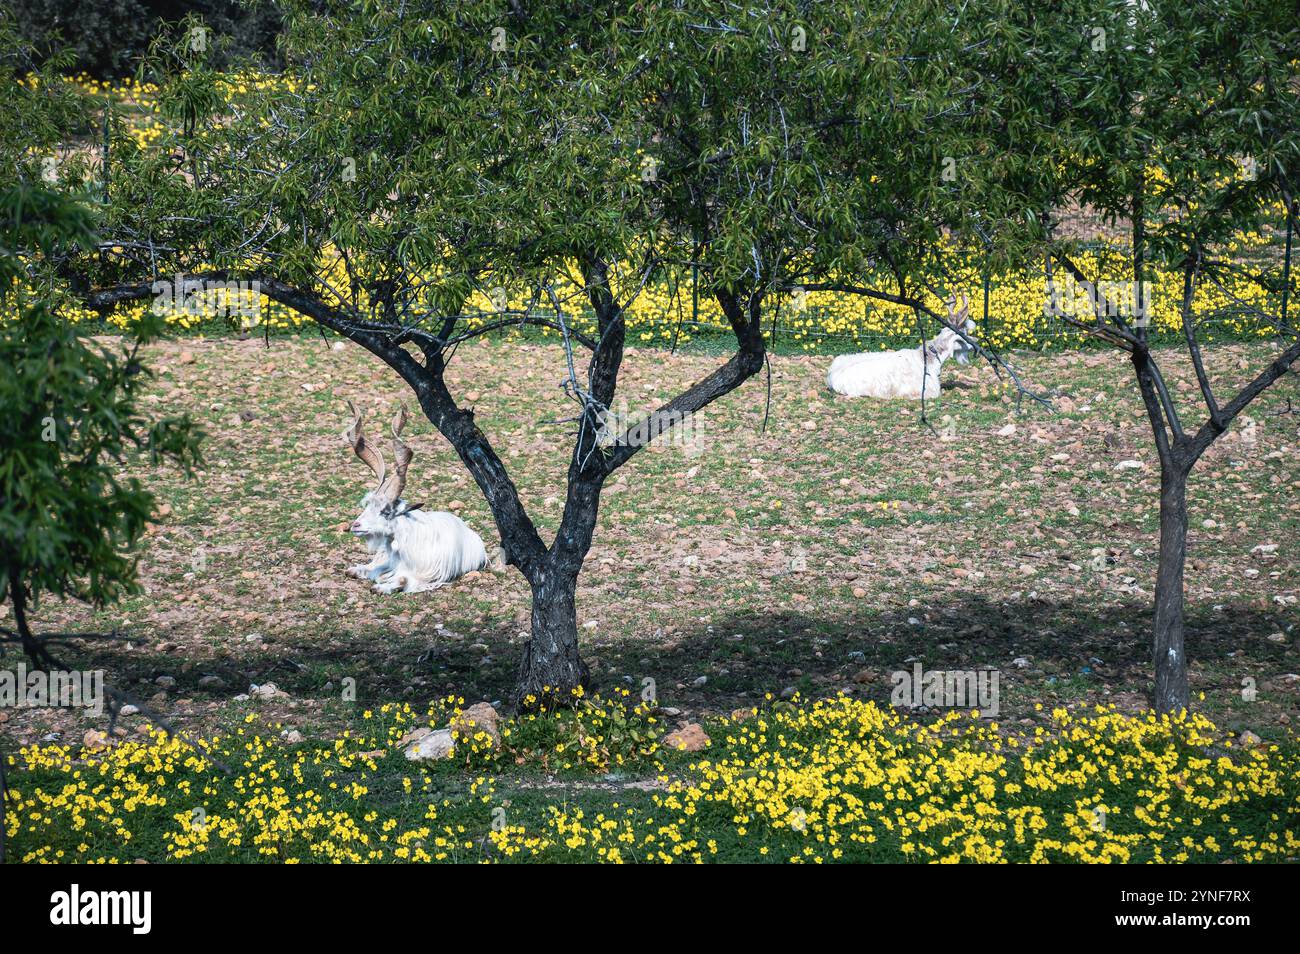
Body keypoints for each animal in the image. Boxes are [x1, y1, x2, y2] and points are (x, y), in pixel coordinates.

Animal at [343, 402, 489, 593]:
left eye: (386, 511)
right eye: (367, 506)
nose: (356, 526)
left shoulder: (427, 575)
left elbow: (402, 579)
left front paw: (380, 587)